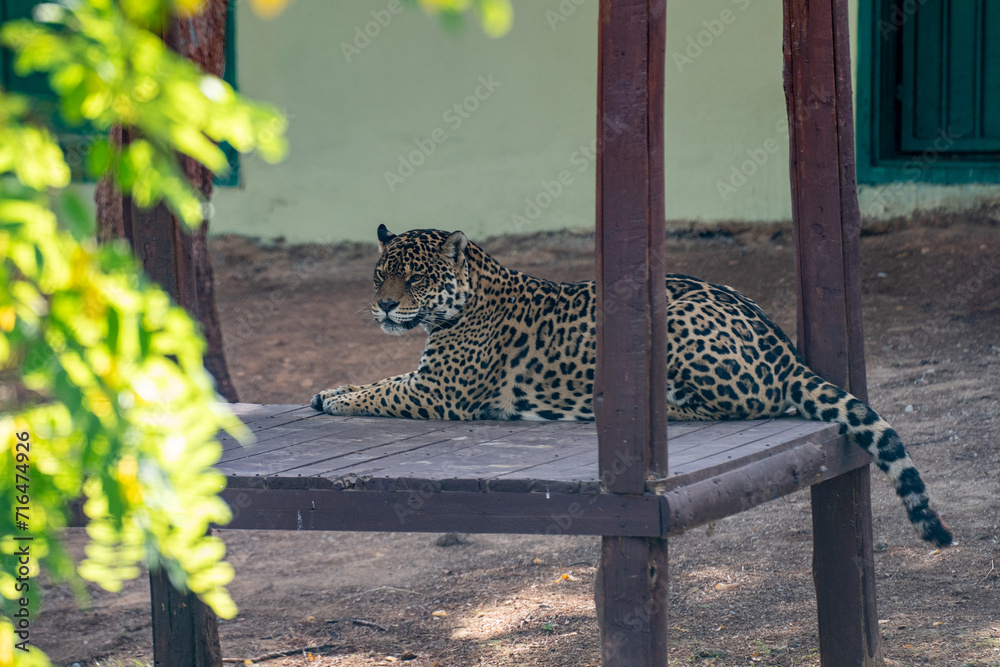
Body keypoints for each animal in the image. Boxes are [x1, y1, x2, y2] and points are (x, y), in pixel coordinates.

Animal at [311, 225, 952, 547]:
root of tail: (785, 349)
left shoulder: (435, 389)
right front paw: (333, 390)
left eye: (416, 277)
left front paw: (333, 397)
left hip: (677, 324)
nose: (384, 306)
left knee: (738, 406)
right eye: (379, 274)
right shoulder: (428, 381)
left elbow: (380, 390)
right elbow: (380, 380)